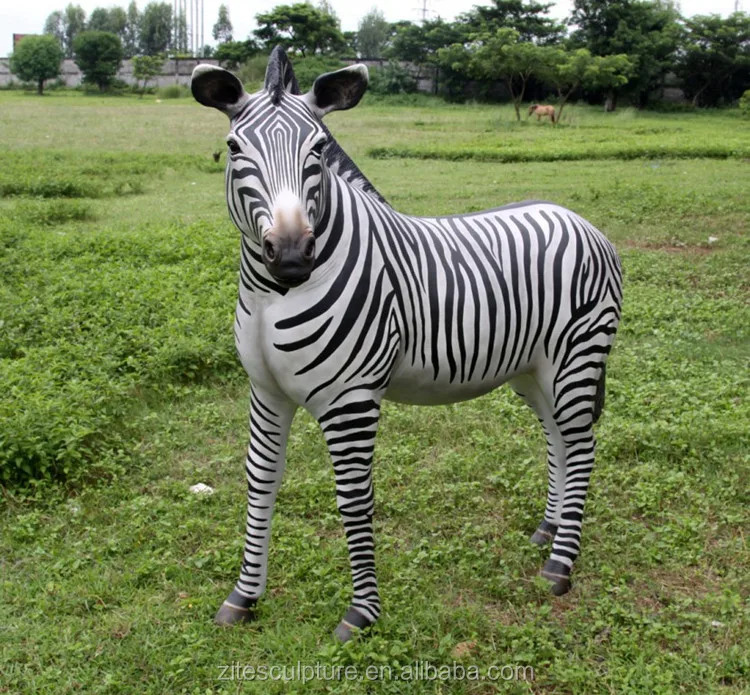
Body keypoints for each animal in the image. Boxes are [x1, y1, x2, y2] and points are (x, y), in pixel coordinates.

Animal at [190, 47, 623, 642]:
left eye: (318, 150)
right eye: (234, 148)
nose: (293, 255)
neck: (272, 294)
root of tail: (583, 222)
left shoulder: (350, 401)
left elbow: (354, 499)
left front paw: (362, 613)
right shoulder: (266, 392)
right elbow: (260, 483)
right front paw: (244, 596)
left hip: (577, 354)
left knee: (581, 444)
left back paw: (560, 565)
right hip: (534, 371)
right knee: (557, 435)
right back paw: (548, 529)